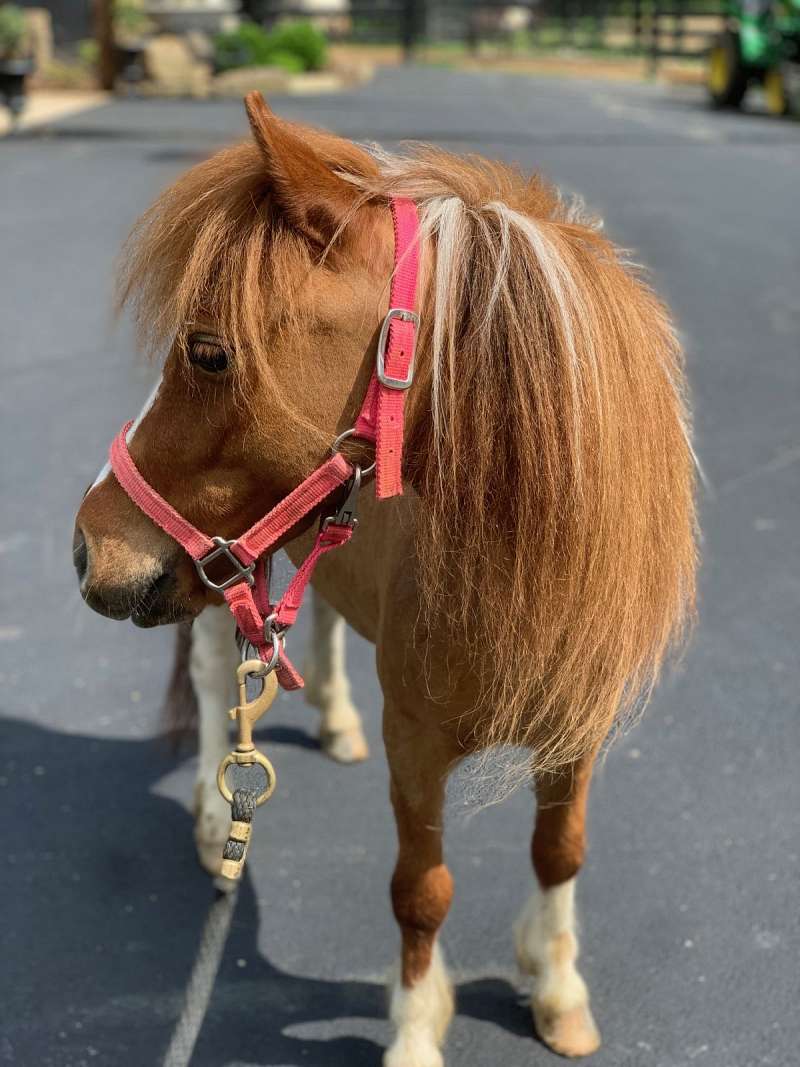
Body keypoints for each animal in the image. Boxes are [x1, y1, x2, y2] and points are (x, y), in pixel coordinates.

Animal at [73, 91, 697, 1065]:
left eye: (210, 352)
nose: (89, 546)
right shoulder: (417, 741)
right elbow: (421, 888)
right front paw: (414, 1029)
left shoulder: (579, 733)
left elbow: (560, 852)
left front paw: (557, 988)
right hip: (214, 590)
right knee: (216, 687)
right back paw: (216, 819)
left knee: (324, 621)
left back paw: (333, 720)